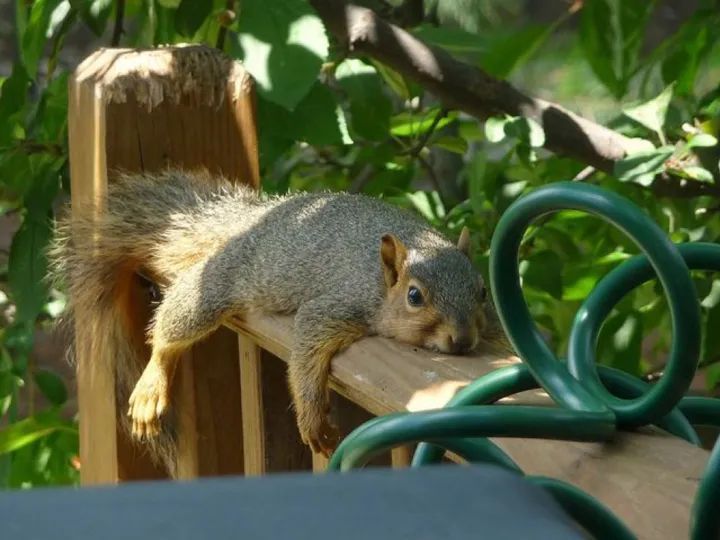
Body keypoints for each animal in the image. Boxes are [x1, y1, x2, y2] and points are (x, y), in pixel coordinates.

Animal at [49, 169, 509, 472]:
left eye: (483, 291)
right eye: (415, 297)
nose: (462, 339)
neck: (382, 285)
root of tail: (248, 220)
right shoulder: (338, 305)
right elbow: (306, 352)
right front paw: (312, 418)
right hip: (219, 282)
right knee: (172, 329)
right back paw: (152, 384)